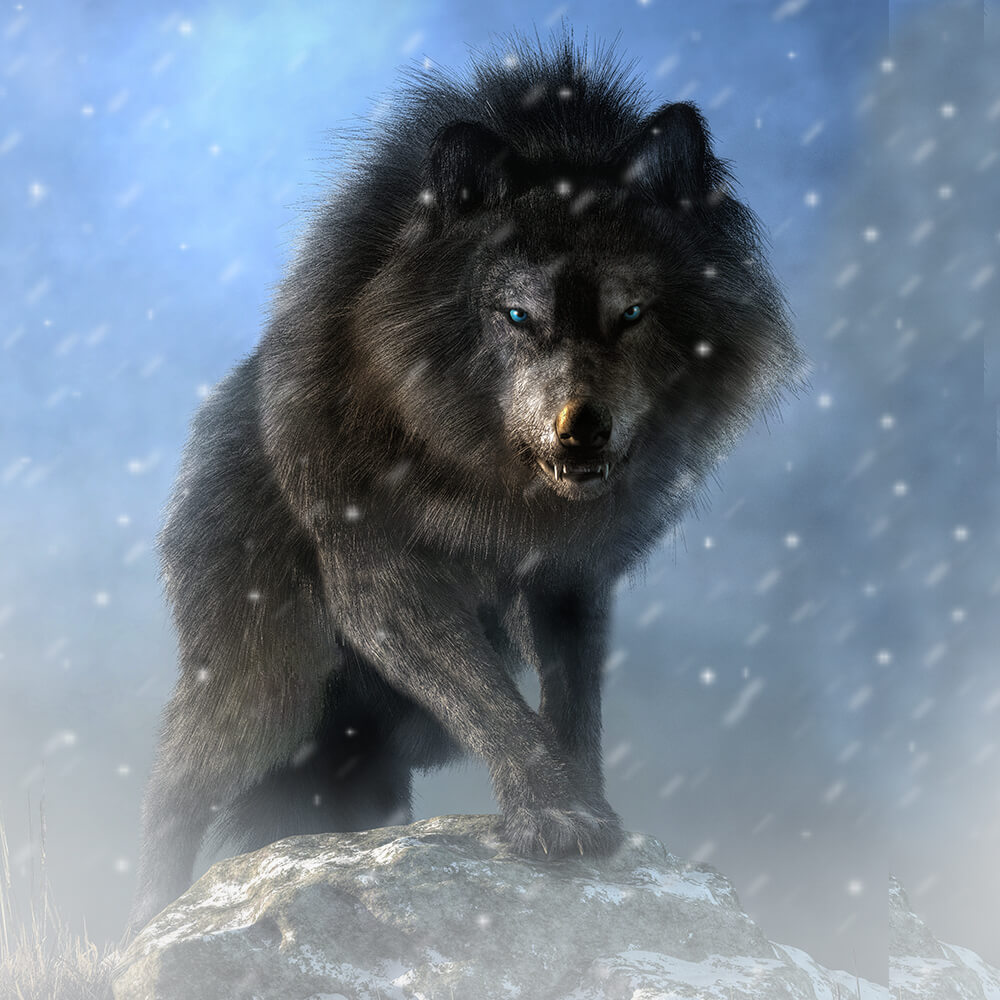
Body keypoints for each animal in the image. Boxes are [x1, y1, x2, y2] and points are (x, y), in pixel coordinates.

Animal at [128, 32, 802, 932]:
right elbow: (489, 699)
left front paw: (589, 810)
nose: (582, 427)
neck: (485, 479)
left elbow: (571, 707)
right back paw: (135, 926)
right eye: (517, 315)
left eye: (631, 313)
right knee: (173, 793)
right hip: (265, 691)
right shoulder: (378, 577)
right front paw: (552, 814)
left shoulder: (571, 581)